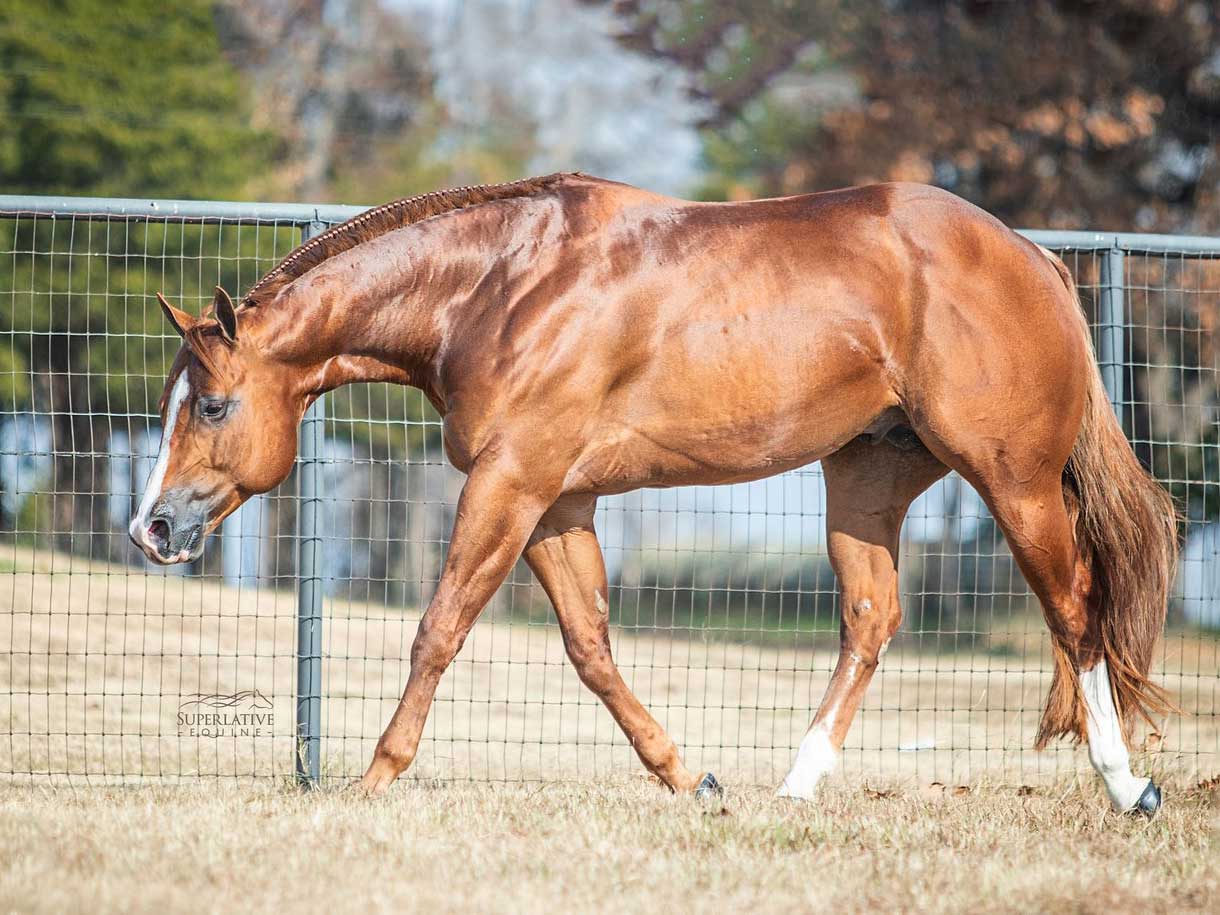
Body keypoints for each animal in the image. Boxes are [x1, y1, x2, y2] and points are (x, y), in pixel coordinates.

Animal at [129, 173, 1177, 815]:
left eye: (213, 403)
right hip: (865, 479)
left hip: (1015, 482)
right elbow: (590, 647)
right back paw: (795, 785)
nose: (153, 526)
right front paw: (688, 777)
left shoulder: (512, 482)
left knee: (1076, 609)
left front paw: (375, 777)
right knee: (872, 619)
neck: (502, 285)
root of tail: (1035, 258)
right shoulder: (554, 502)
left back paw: (1126, 785)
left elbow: (440, 628)